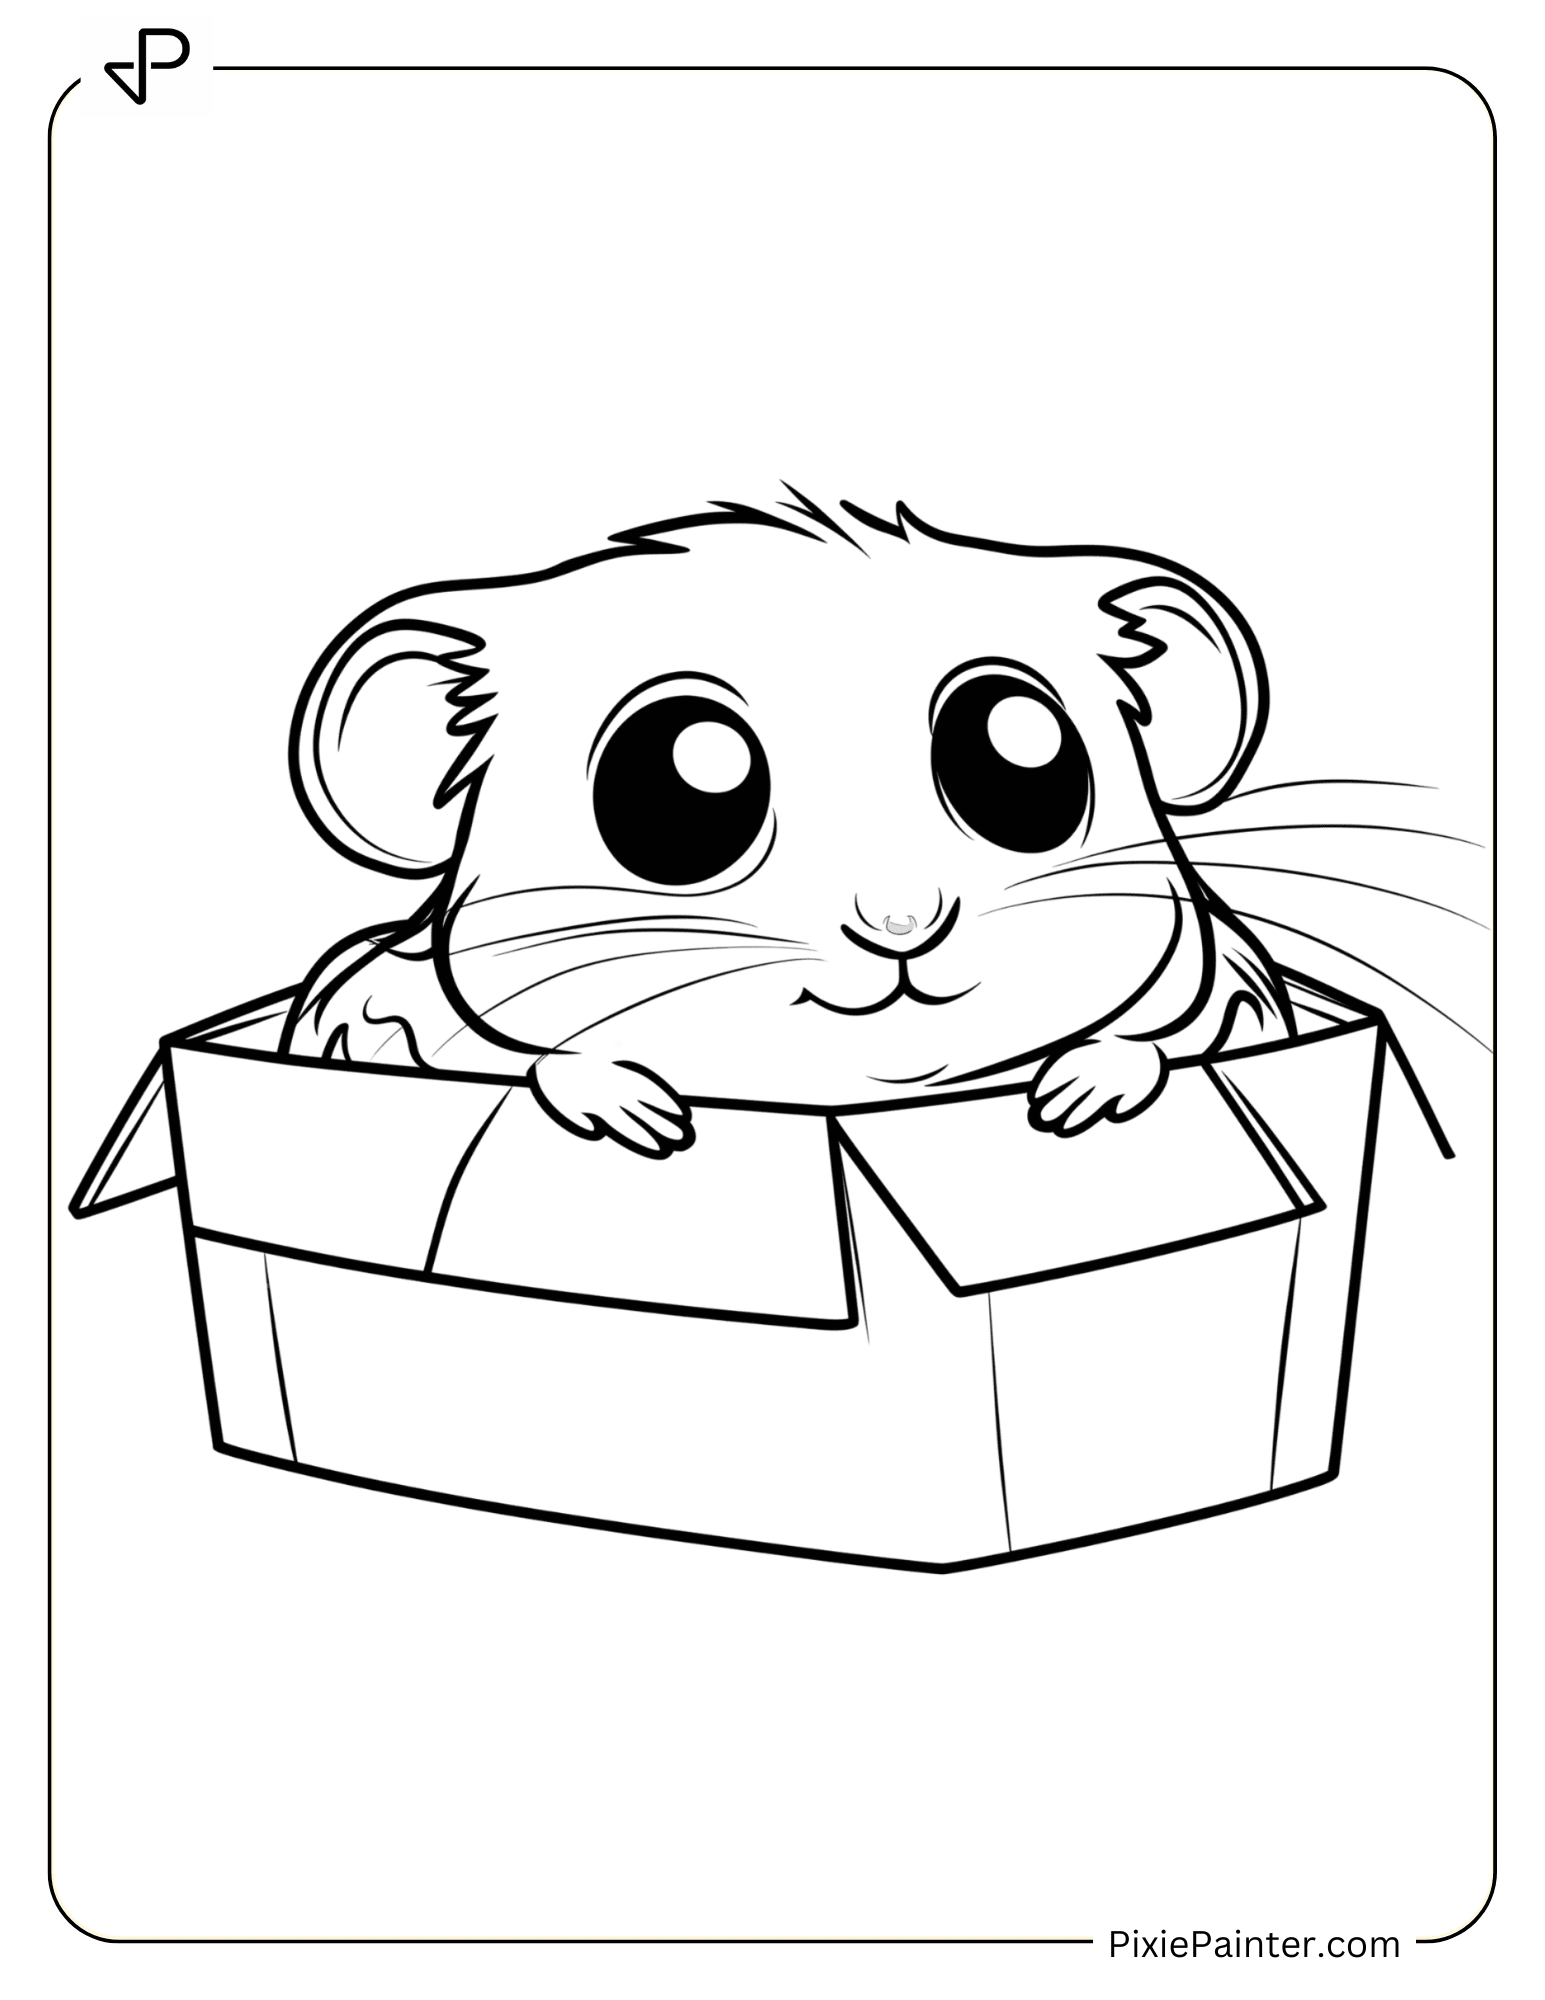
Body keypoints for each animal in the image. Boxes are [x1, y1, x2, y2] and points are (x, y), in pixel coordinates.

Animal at [281, 493, 1294, 1155]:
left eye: (1018, 759)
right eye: (677, 790)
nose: (901, 919)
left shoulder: (1231, 990)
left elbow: (1203, 1017)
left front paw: (1101, 1072)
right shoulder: (374, 1015)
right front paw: (607, 1090)